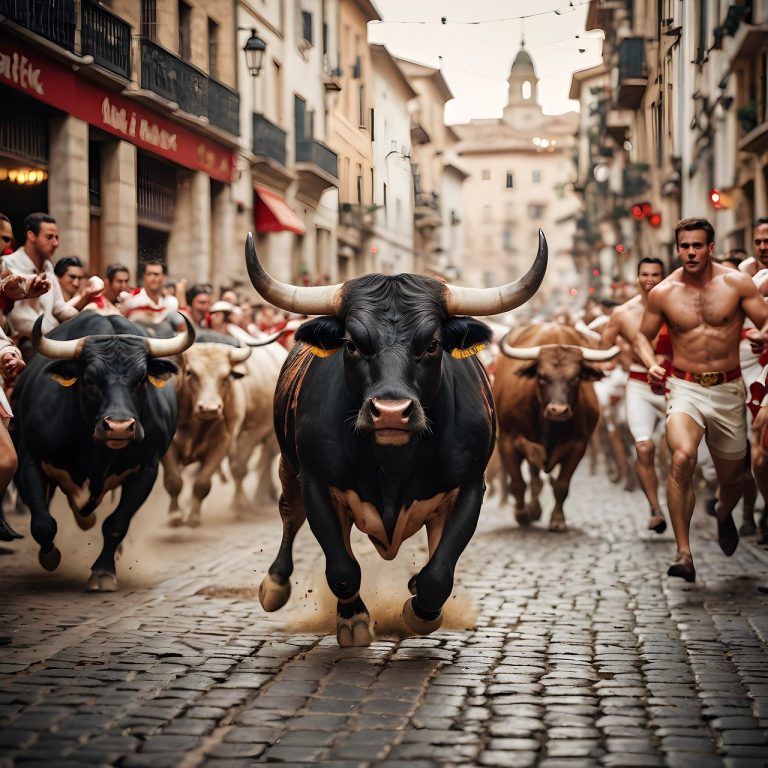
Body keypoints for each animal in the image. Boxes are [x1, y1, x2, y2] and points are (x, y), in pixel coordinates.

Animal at [11, 311, 193, 590]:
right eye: (89, 380)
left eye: (141, 380)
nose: (119, 427)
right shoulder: (29, 456)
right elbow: (43, 523)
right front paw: (49, 557)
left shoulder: (147, 469)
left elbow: (116, 524)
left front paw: (104, 571)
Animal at [246, 230, 547, 646]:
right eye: (352, 343)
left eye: (433, 344)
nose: (391, 412)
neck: (391, 465)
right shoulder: (316, 482)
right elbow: (342, 567)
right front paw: (353, 620)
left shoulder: (471, 486)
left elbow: (438, 575)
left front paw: (420, 610)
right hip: (288, 469)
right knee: (290, 516)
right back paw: (274, 586)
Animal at [494, 322, 619, 532]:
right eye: (541, 377)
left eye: (576, 378)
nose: (558, 410)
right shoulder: (507, 441)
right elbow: (518, 483)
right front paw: (521, 515)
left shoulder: (578, 445)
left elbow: (561, 486)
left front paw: (557, 520)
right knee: (533, 479)